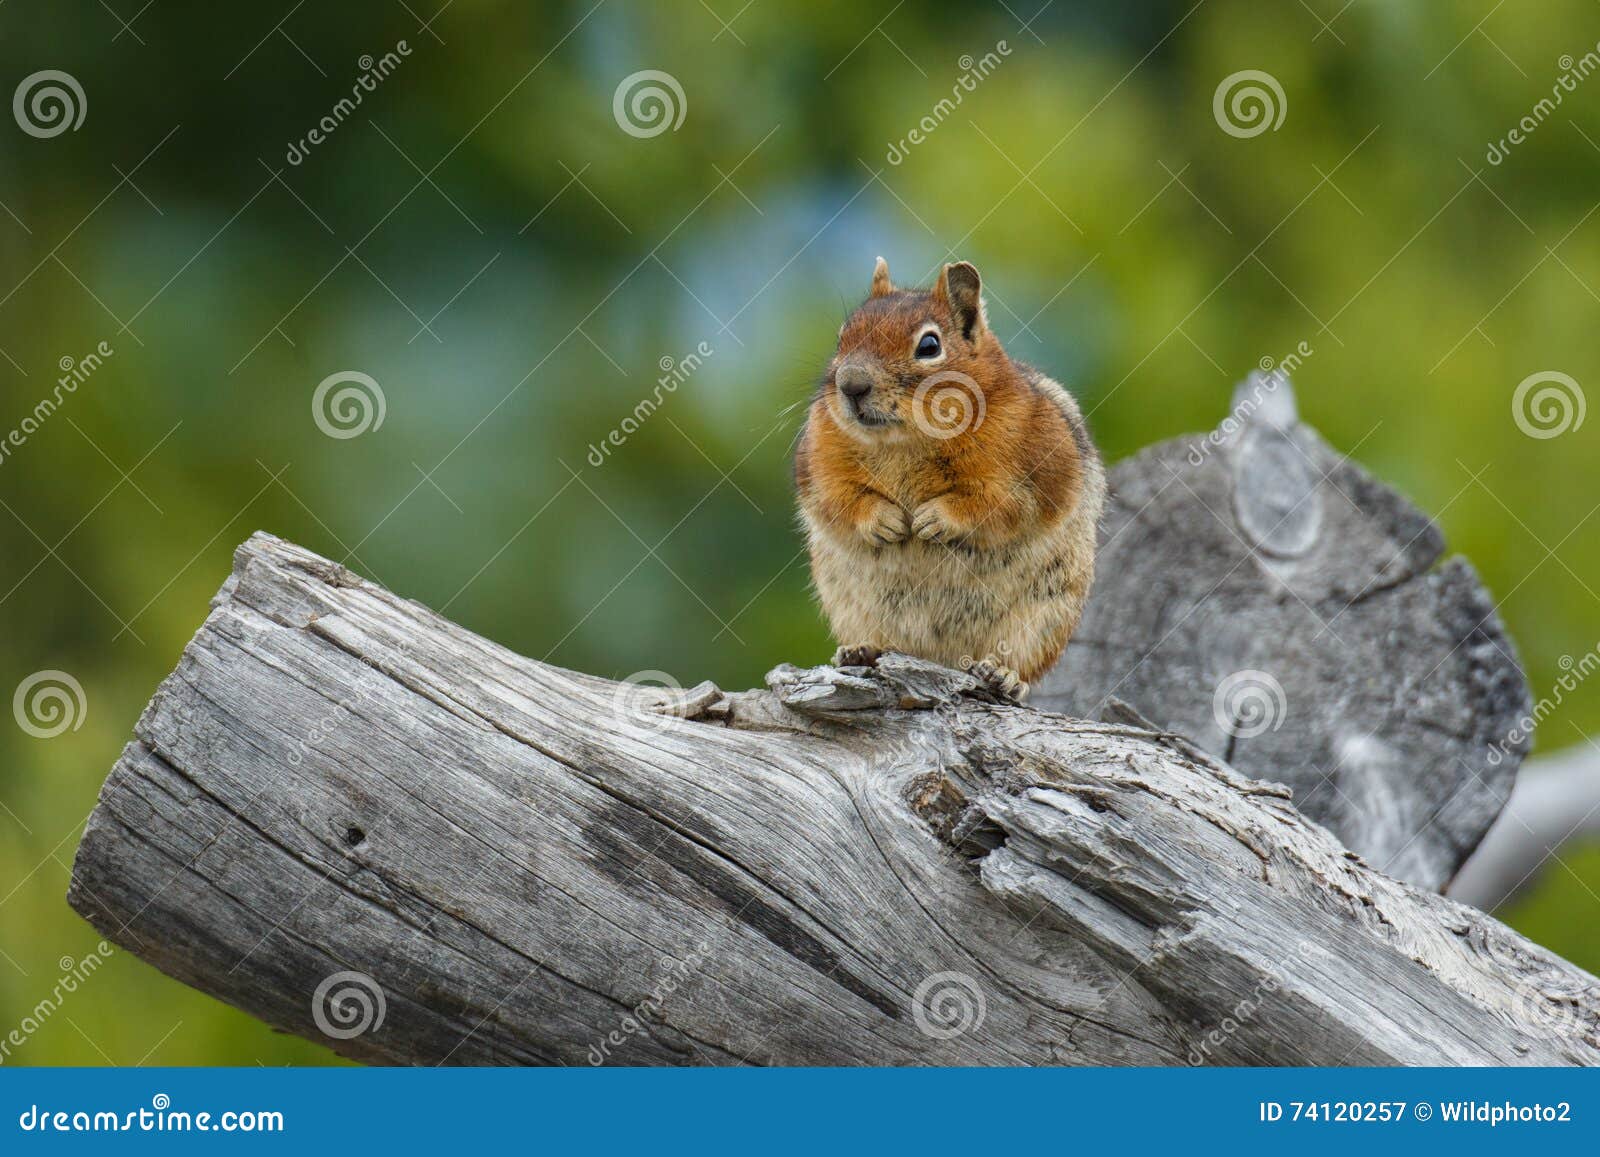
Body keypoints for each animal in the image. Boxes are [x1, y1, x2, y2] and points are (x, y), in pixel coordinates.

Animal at [793, 257, 1105, 702]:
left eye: (929, 346)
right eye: (842, 337)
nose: (850, 385)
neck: (904, 442)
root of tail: (939, 658)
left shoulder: (1032, 470)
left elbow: (1000, 507)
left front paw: (936, 519)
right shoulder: (819, 464)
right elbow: (838, 501)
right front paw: (884, 521)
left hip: (1045, 616)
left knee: (1022, 662)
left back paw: (1004, 676)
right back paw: (861, 650)